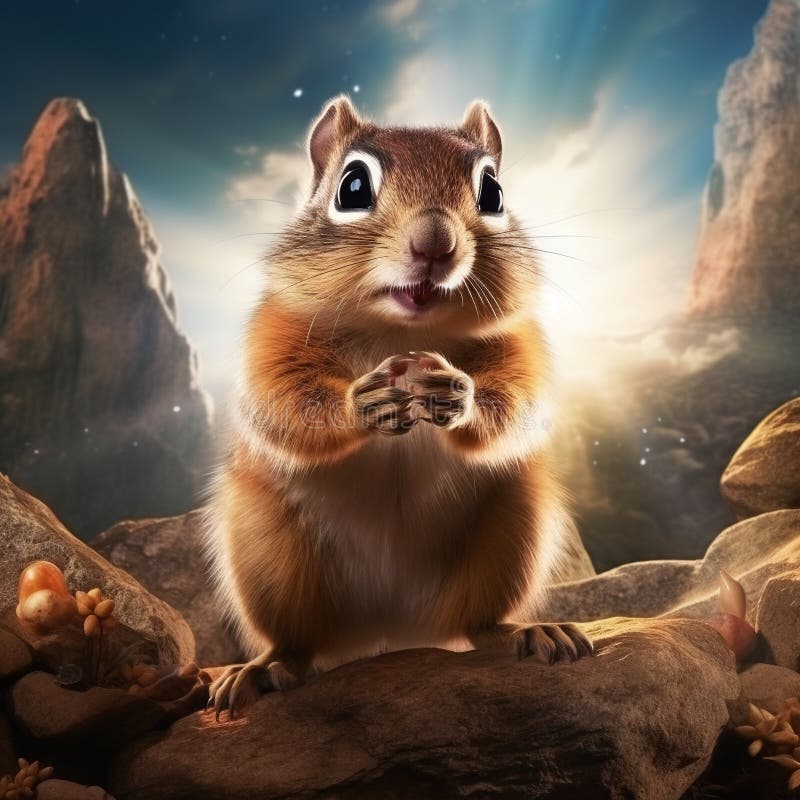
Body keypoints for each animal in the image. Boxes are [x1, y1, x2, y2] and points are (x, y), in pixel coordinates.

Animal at [205, 96, 592, 717]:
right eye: (352, 186)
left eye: (493, 192)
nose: (434, 243)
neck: (400, 330)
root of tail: (391, 631)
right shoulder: (275, 331)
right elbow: (284, 403)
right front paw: (363, 405)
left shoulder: (523, 341)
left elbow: (517, 402)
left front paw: (455, 395)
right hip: (268, 559)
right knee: (297, 643)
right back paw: (262, 668)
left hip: (512, 534)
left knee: (478, 622)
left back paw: (527, 633)